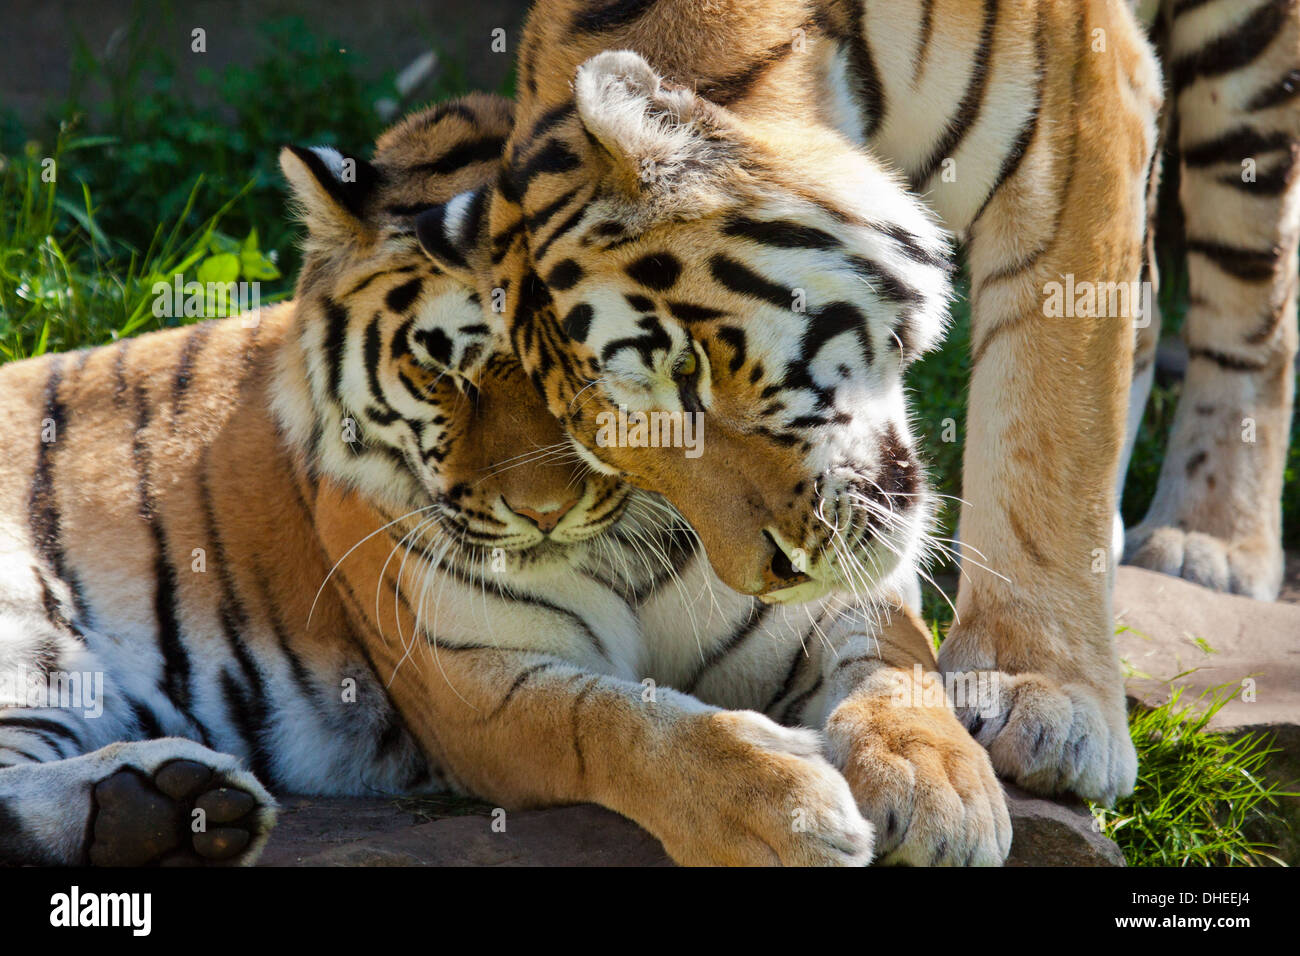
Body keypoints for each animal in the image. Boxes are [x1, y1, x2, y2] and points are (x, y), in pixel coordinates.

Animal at [0, 92, 1011, 867]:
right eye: (442, 372)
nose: (543, 515)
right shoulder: (478, 685)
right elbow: (627, 728)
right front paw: (784, 811)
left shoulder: (834, 594)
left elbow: (896, 671)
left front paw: (942, 794)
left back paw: (162, 809)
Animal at [404, 0, 1297, 809]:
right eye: (618, 459)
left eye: (688, 372)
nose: (772, 579)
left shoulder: (1078, 124)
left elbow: (1049, 427)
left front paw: (1044, 699)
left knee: (1257, 290)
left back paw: (1212, 539)